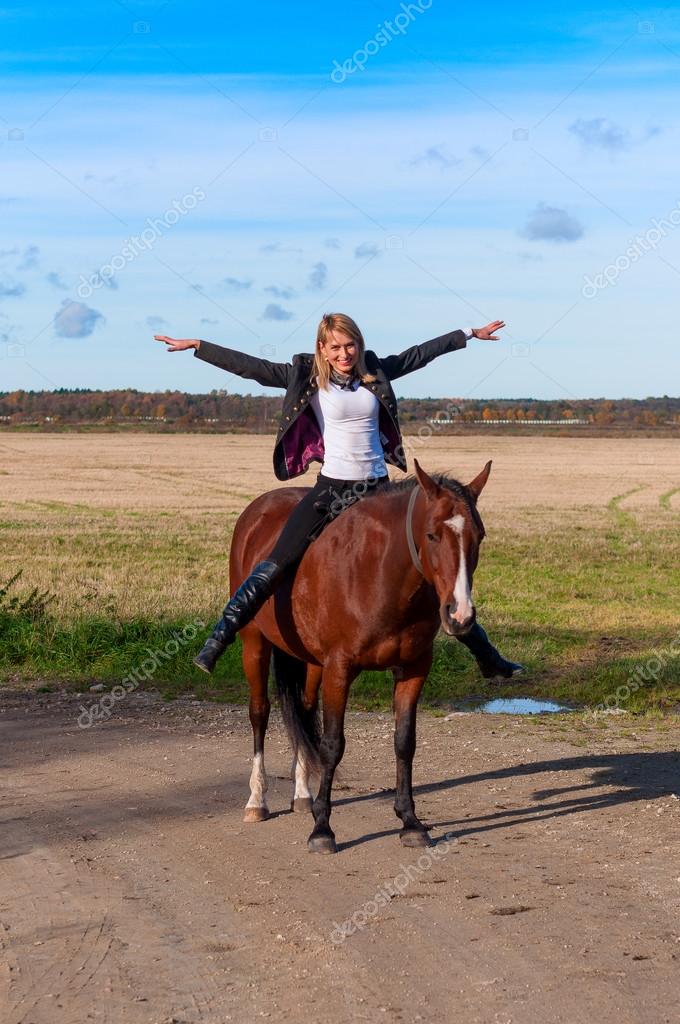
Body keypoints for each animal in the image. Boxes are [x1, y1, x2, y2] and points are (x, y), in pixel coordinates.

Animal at [230, 458, 490, 853]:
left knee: (302, 710)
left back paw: (302, 792)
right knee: (260, 713)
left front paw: (410, 821)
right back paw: (257, 800)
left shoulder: (413, 668)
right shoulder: (340, 668)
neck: (381, 574)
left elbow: (404, 742)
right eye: (432, 535)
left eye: (480, 535)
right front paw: (322, 829)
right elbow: (333, 744)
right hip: (255, 642)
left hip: (311, 661)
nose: (460, 615)